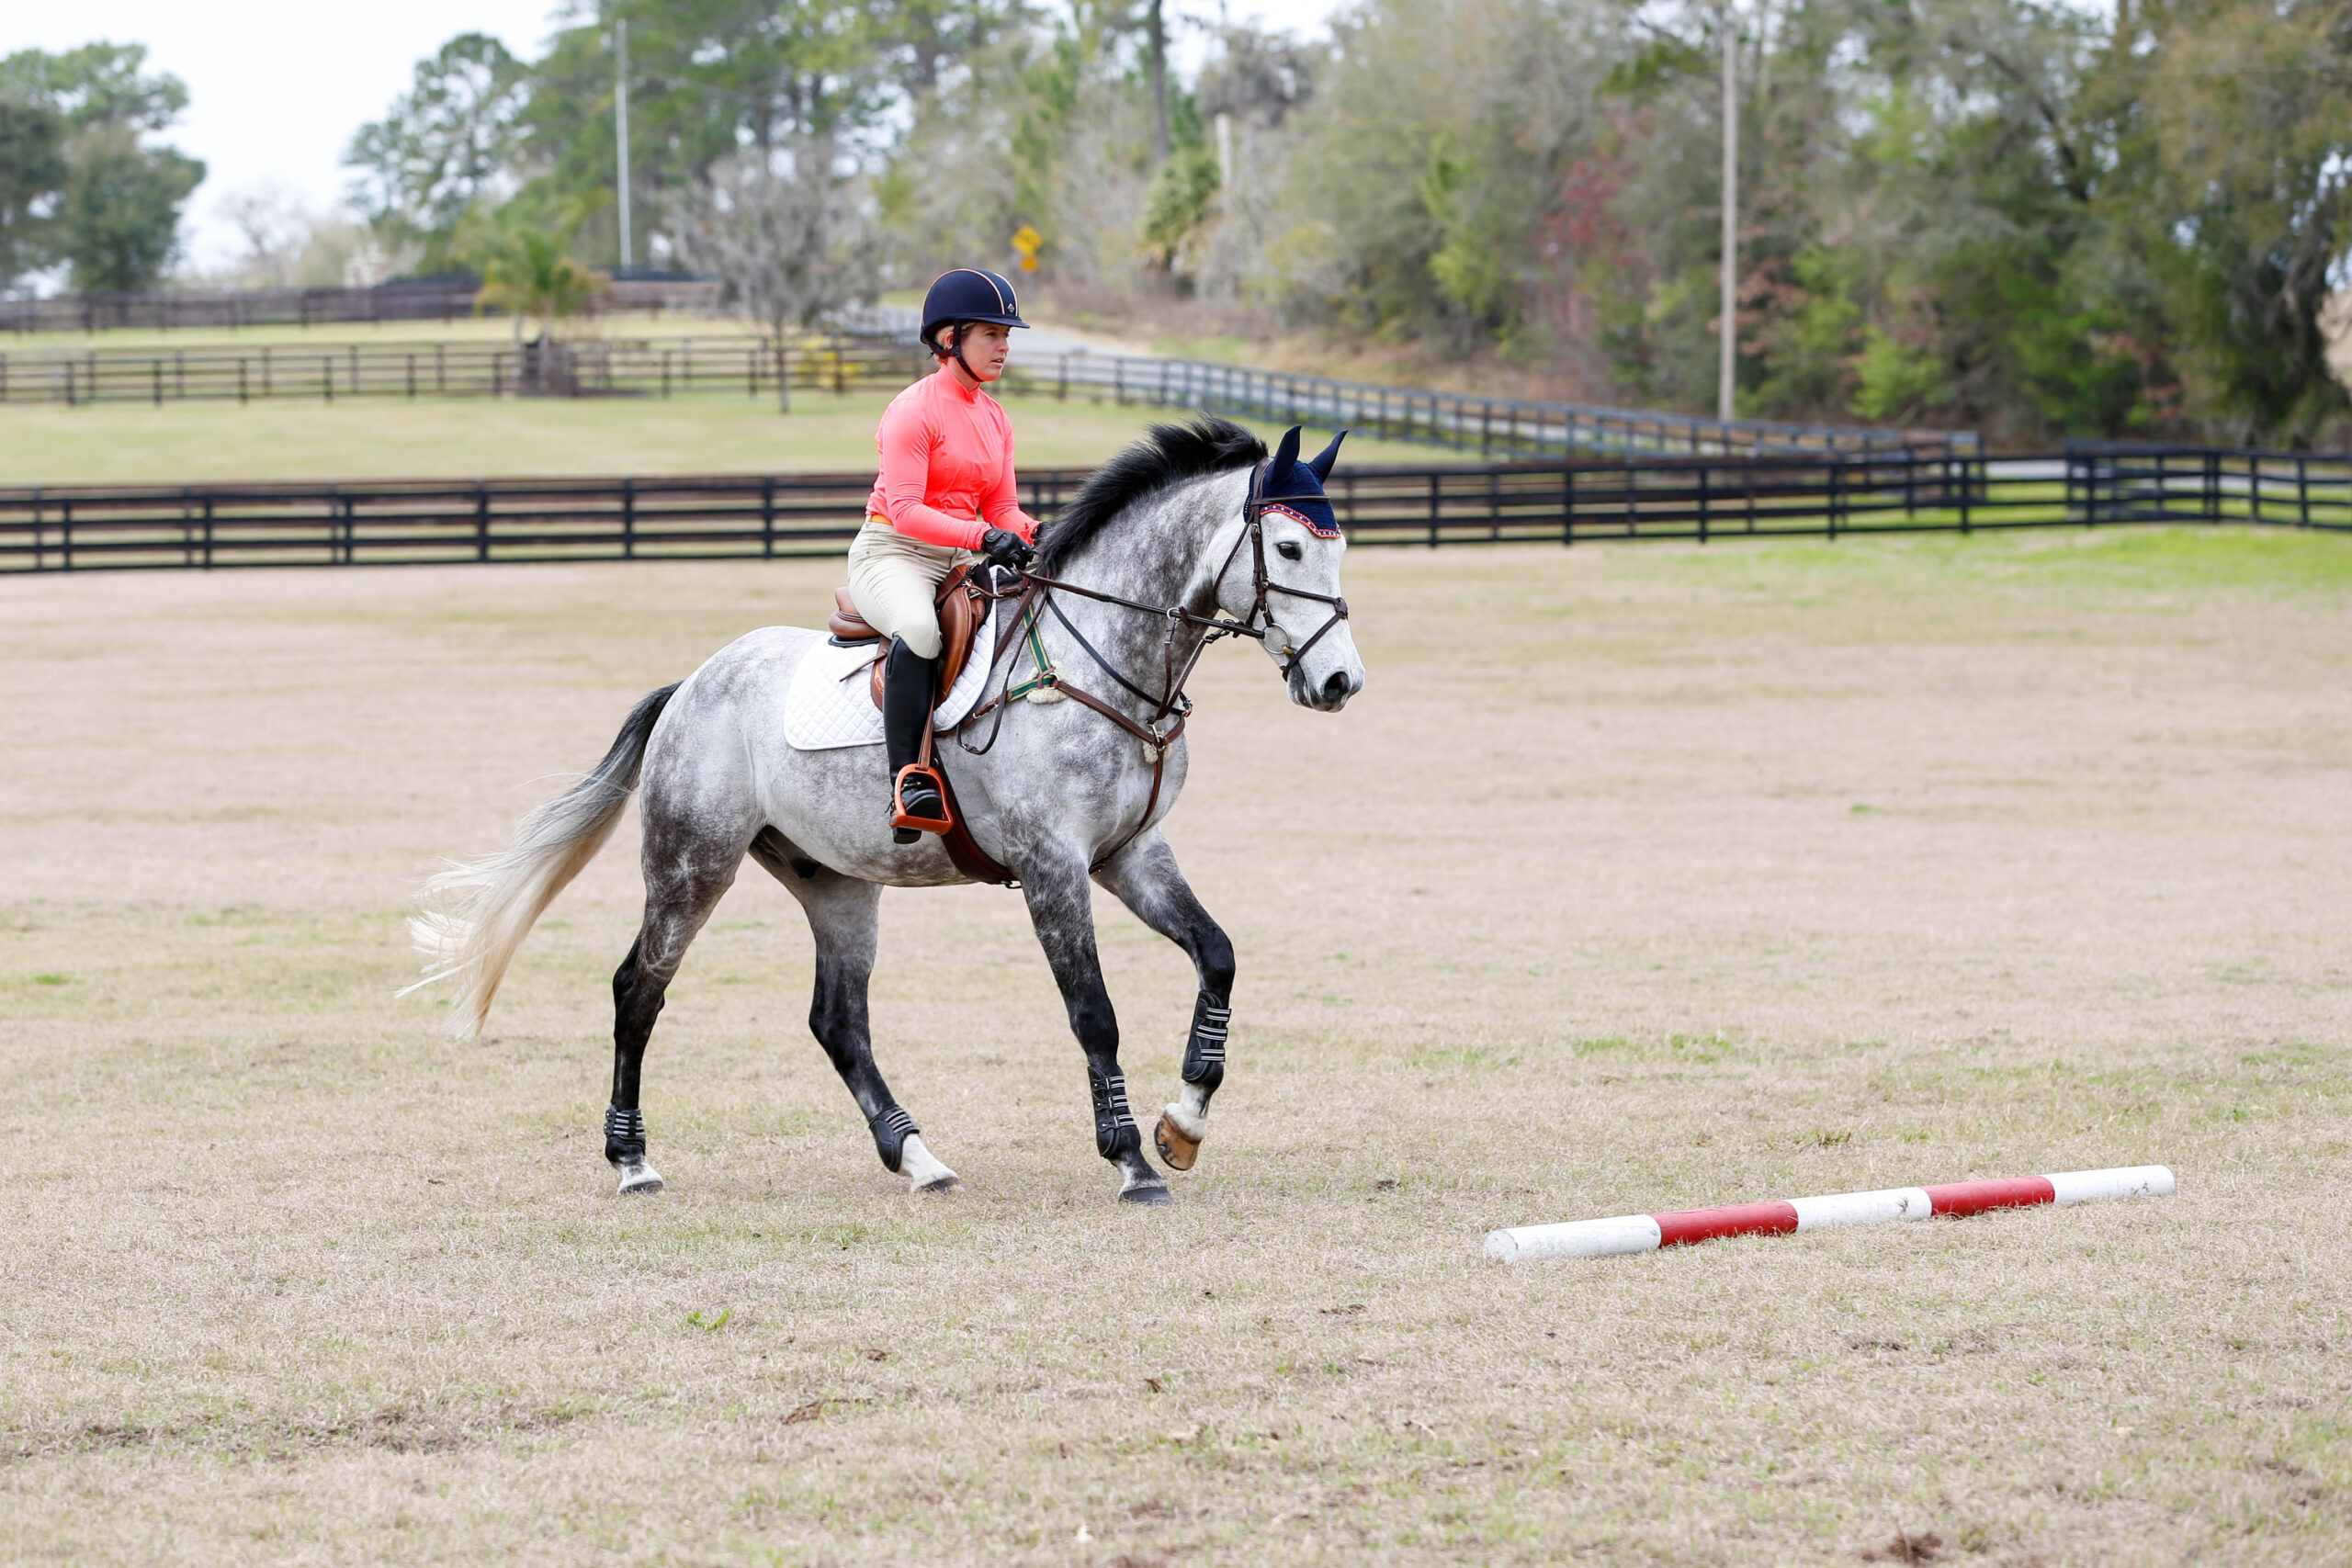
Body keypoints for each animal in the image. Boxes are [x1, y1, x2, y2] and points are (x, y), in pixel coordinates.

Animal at [407, 417, 1365, 1205]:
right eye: (1286, 548)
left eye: (1337, 547)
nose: (1339, 682)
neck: (1102, 662)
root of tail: (692, 685)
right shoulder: (1052, 866)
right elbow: (1094, 1010)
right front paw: (1131, 1159)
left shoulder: (1130, 853)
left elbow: (1218, 956)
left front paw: (1184, 1123)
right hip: (692, 865)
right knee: (639, 990)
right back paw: (633, 1160)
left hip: (835, 881)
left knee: (838, 1019)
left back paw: (918, 1158)